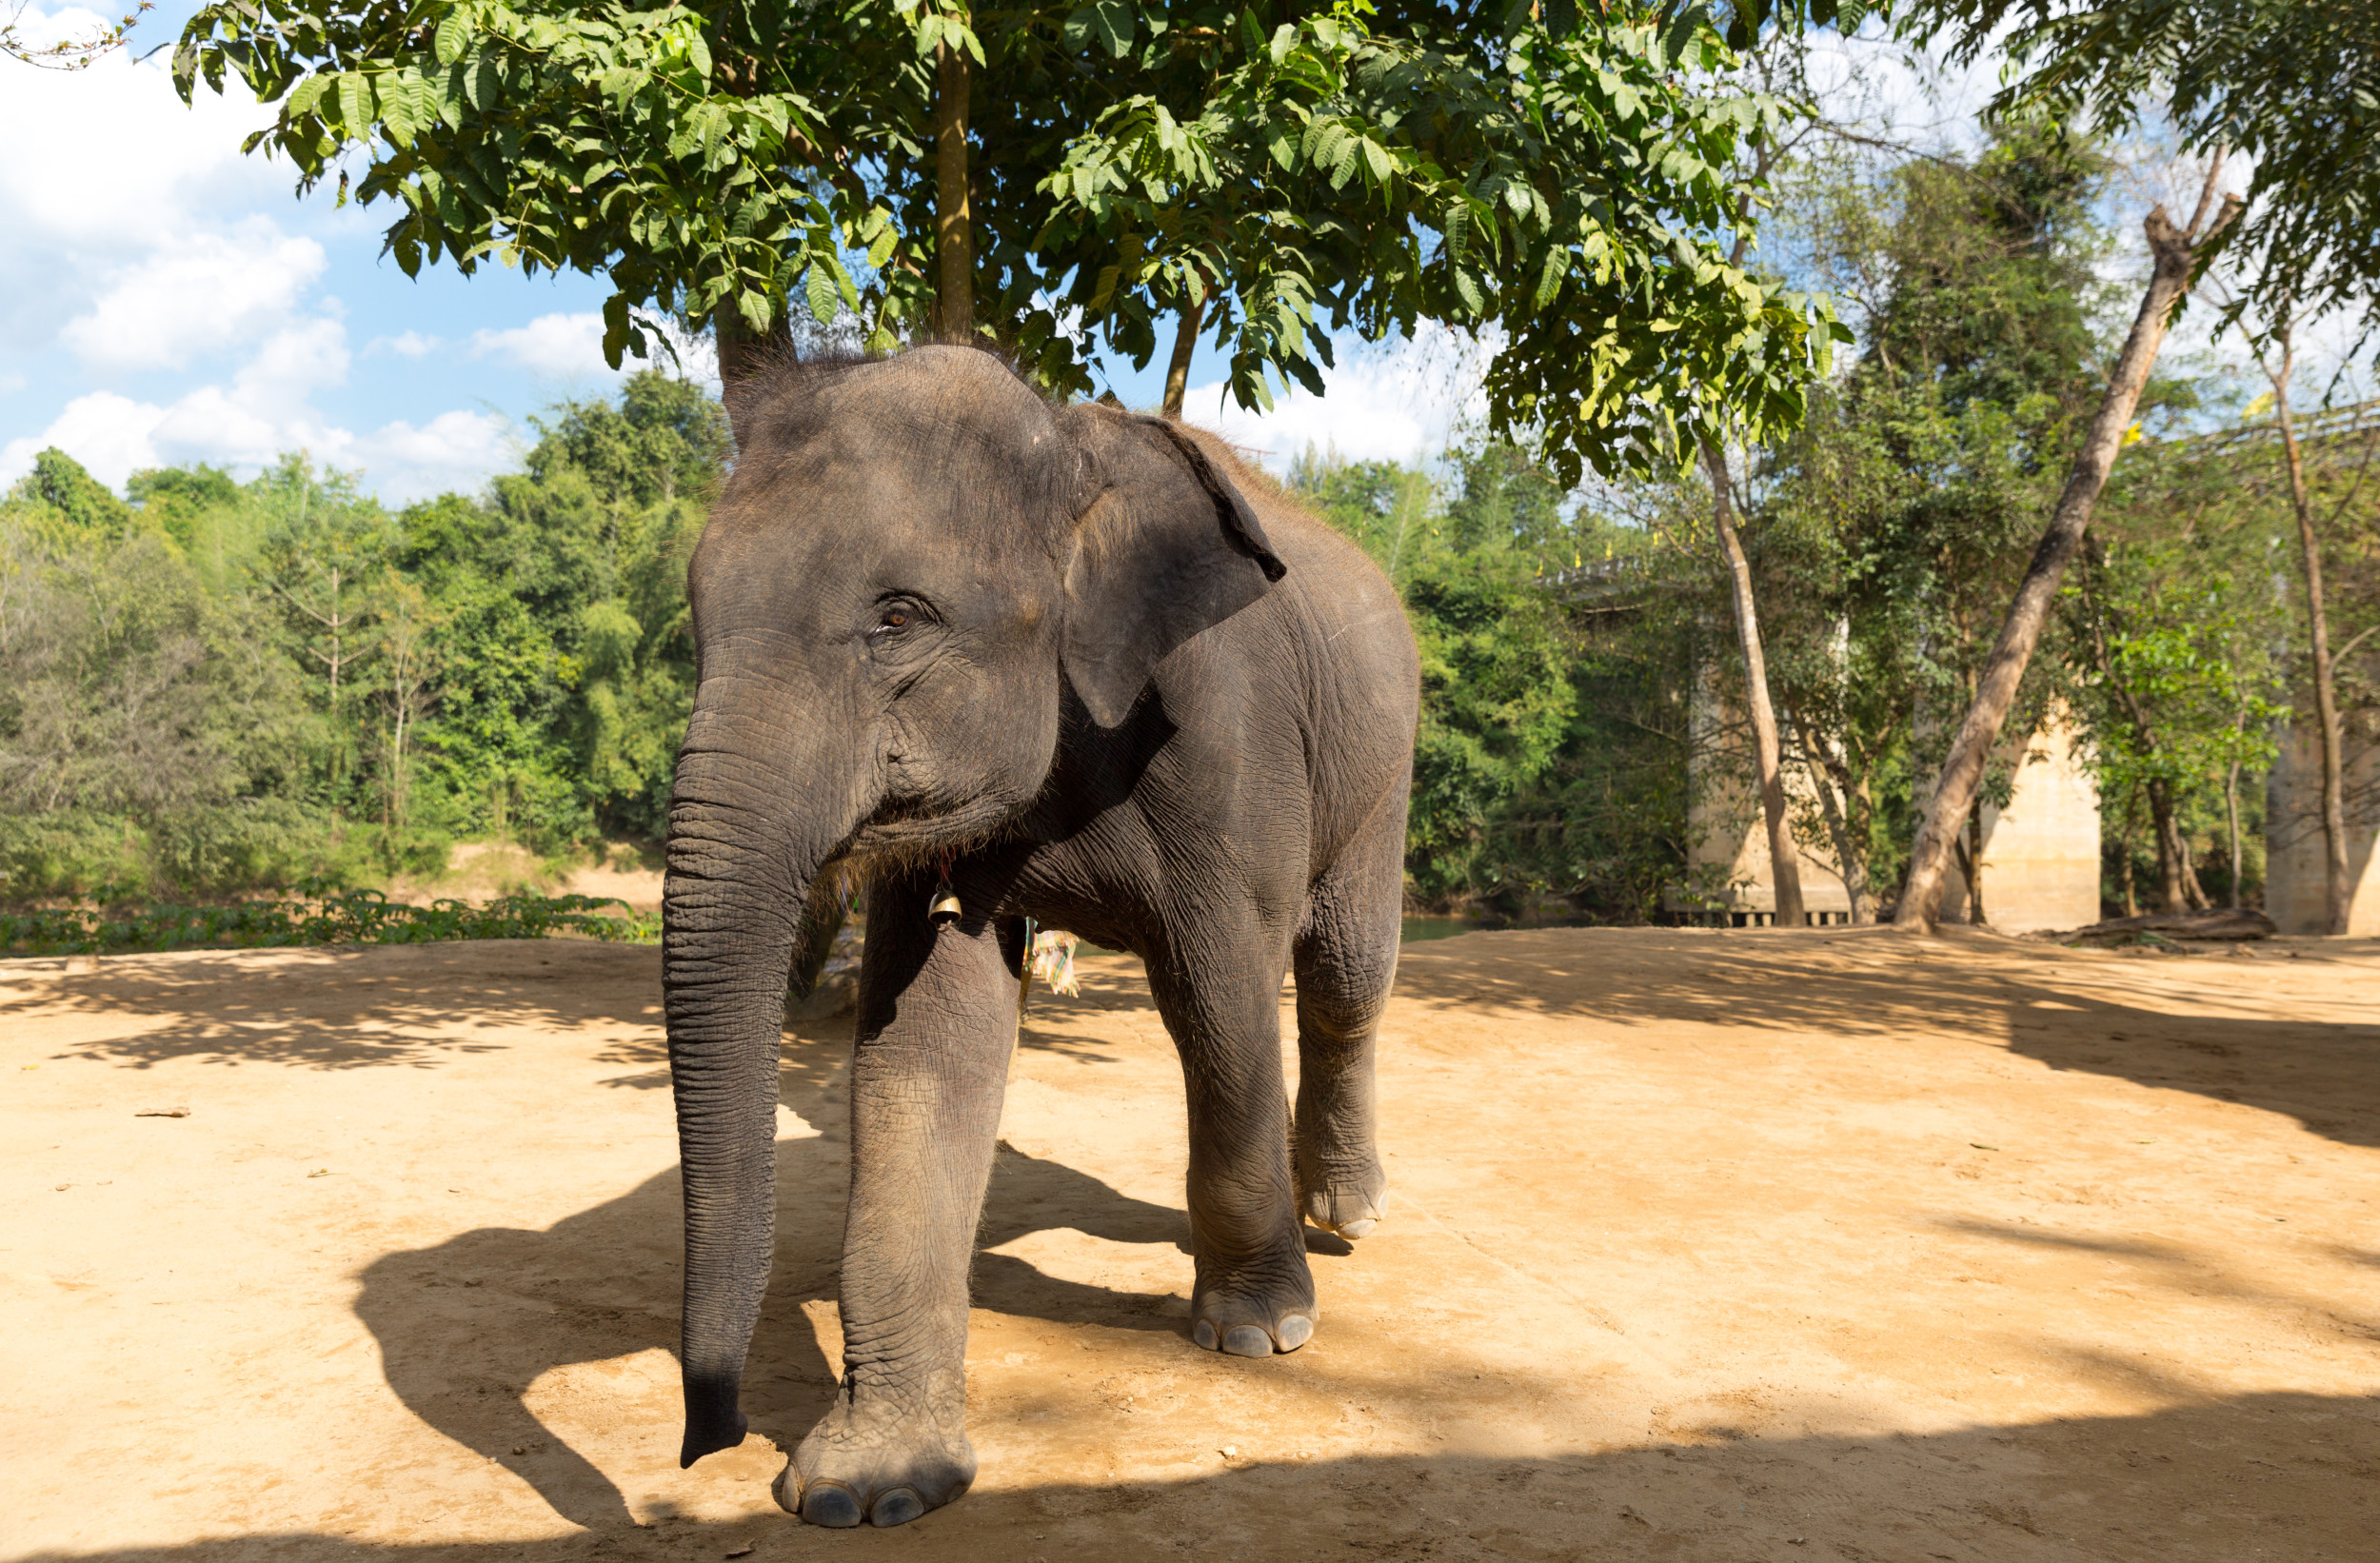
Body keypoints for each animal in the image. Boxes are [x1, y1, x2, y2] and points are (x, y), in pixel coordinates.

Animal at [662, 345, 1419, 1529]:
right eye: (696, 612)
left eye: (898, 618)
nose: (709, 1442)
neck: (1067, 439)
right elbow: (928, 1043)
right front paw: (868, 1490)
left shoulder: (1226, 735)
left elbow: (1219, 995)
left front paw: (1257, 1333)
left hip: (1381, 763)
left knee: (1345, 973)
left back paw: (1344, 1217)